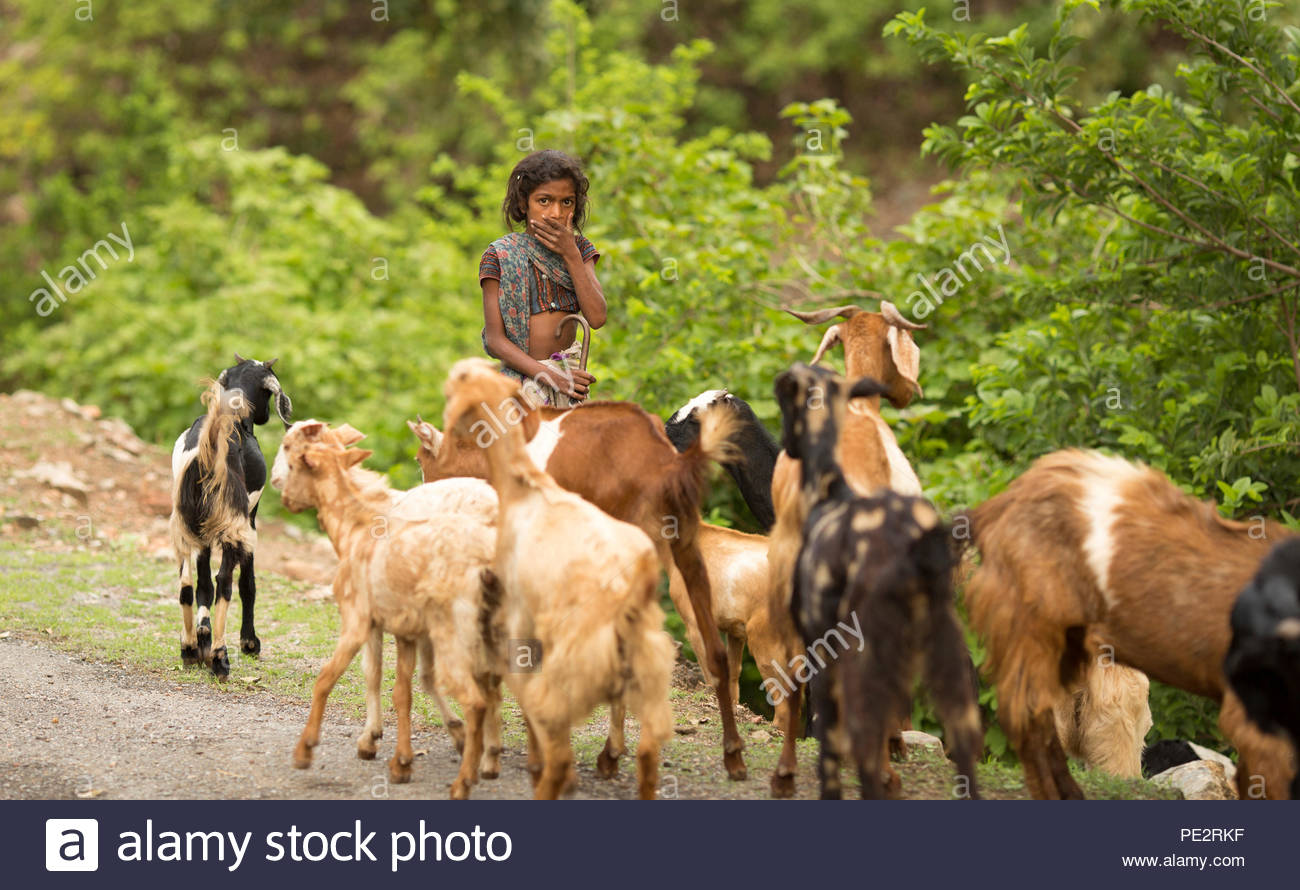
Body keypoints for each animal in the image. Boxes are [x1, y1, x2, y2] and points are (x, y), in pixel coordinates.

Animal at [169, 354, 291, 677]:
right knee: (225, 580)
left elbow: (203, 585)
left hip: (185, 525)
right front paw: (249, 642)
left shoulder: (204, 533)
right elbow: (248, 583)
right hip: (233, 527)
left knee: (187, 582)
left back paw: (190, 649)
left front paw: (203, 637)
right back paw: (220, 658)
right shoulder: (250, 520)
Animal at [271, 420, 501, 798]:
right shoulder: (404, 628)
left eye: (289, 450)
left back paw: (468, 774)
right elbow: (400, 687)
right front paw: (401, 757)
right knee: (493, 684)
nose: (281, 491)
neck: (356, 525)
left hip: (457, 634)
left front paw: (321, 747)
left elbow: (342, 675)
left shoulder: (360, 620)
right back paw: (492, 757)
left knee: (477, 694)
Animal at [407, 388, 750, 780]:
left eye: (421, 461)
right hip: (684, 547)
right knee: (715, 651)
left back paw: (610, 753)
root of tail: (664, 462)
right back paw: (732, 755)